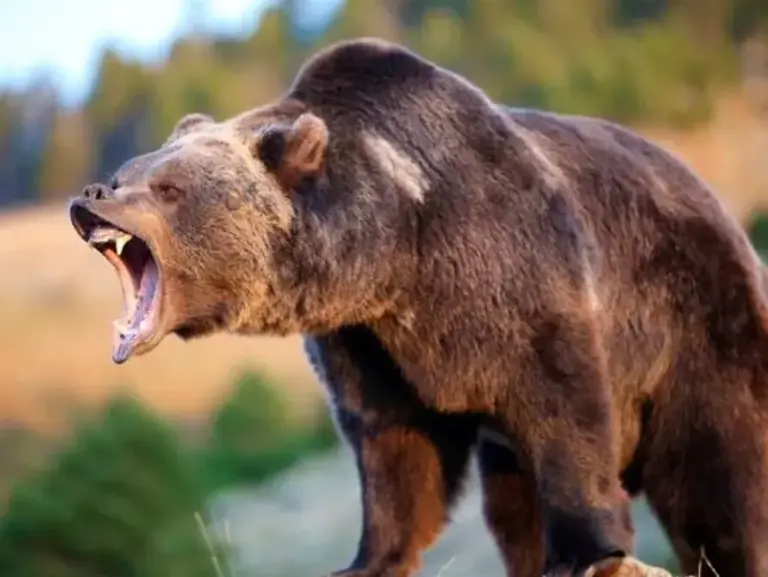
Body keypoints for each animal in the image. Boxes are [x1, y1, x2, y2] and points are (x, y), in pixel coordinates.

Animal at [67, 37, 768, 577]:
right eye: (128, 171)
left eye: (168, 188)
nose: (92, 195)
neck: (397, 252)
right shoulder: (367, 342)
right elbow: (393, 448)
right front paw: (366, 560)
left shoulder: (517, 273)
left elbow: (563, 409)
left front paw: (590, 552)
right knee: (511, 502)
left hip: (698, 325)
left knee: (718, 478)